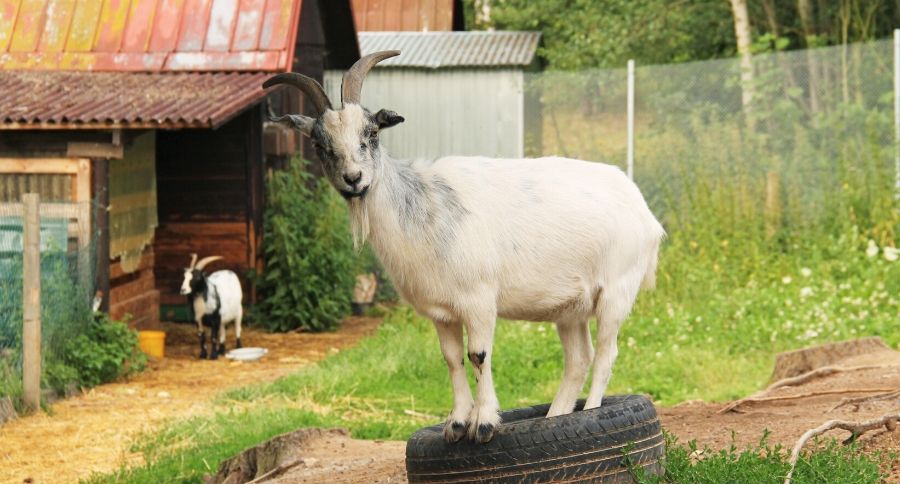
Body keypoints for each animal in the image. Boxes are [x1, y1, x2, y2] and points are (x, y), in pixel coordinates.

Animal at [262, 51, 665, 443]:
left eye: (371, 132)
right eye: (319, 144)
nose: (353, 179)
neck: (423, 207)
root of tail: (645, 212)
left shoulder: (480, 300)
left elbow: (478, 355)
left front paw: (484, 423)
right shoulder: (441, 312)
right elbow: (452, 358)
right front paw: (456, 423)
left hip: (616, 291)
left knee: (606, 354)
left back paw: (592, 411)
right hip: (569, 308)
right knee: (578, 359)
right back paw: (556, 417)